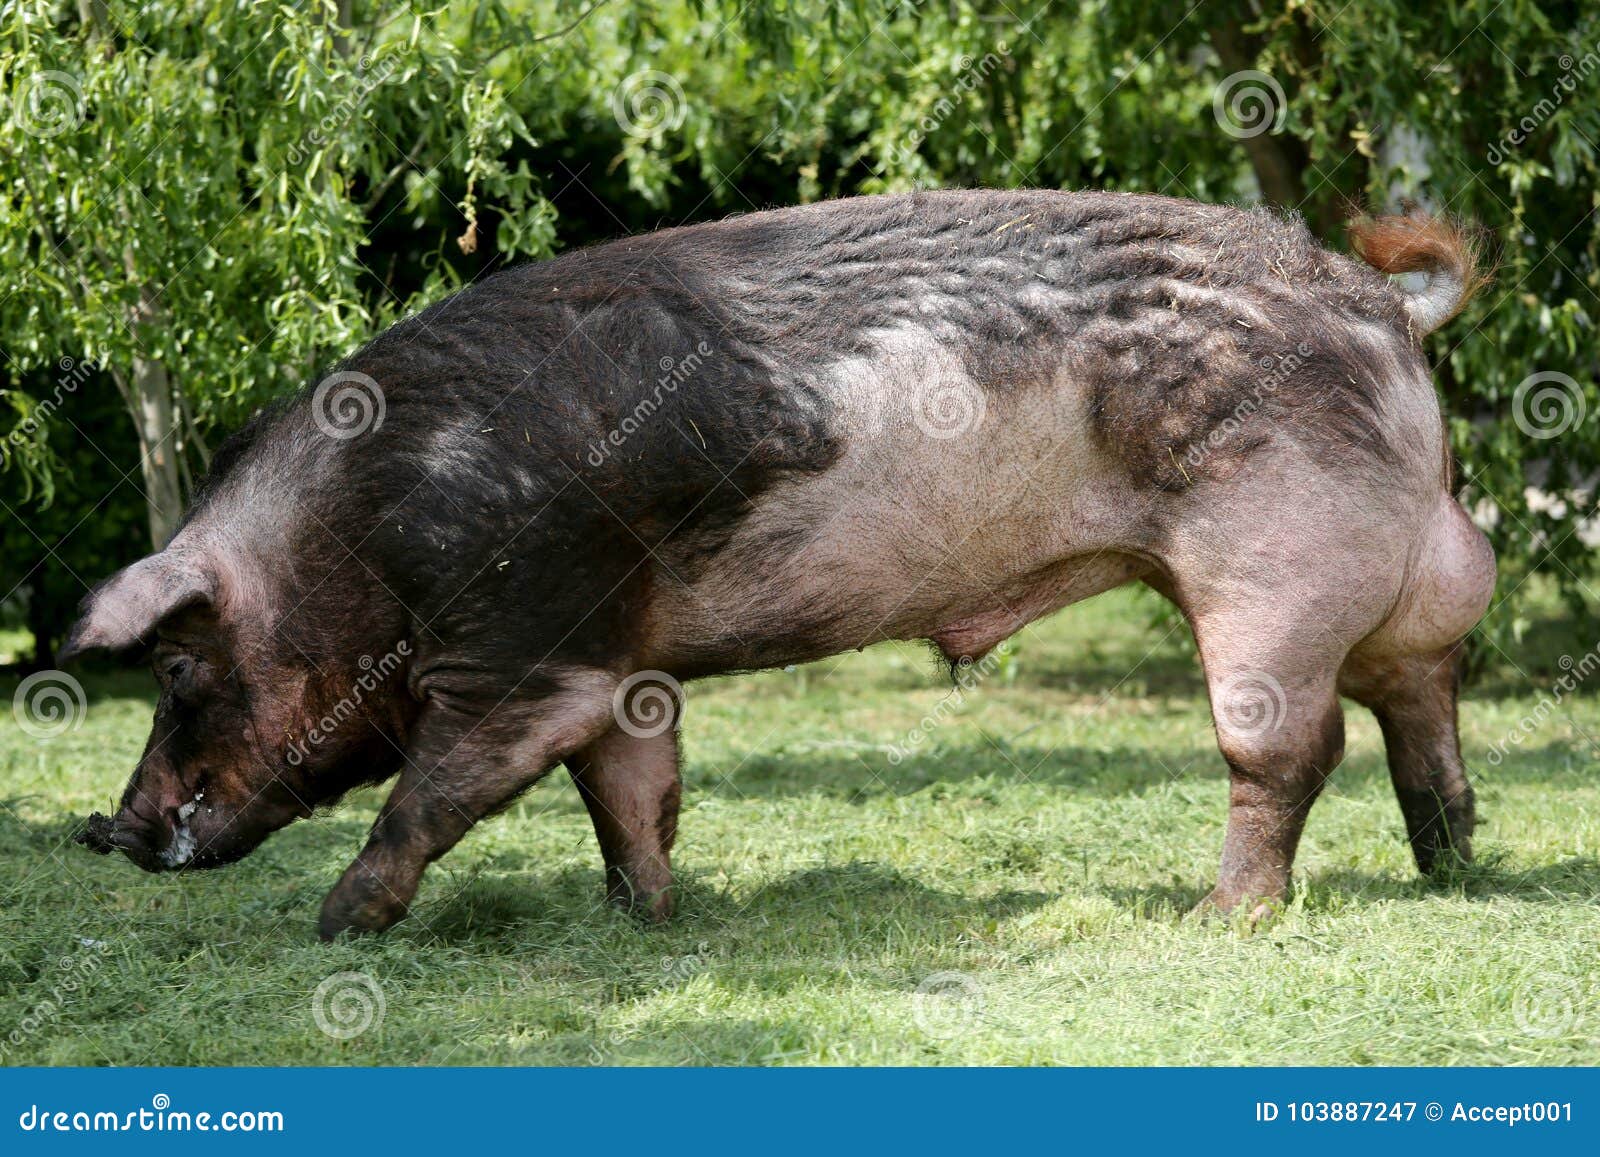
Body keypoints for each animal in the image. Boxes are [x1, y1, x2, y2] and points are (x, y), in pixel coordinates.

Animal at [63, 189, 1494, 938]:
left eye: (179, 670)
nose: (106, 825)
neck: (353, 533)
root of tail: (1381, 303)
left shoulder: (524, 649)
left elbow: (435, 790)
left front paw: (334, 921)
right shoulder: (619, 662)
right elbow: (630, 791)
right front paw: (645, 919)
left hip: (1273, 562)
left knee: (1290, 746)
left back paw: (1223, 916)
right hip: (1406, 577)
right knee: (1420, 698)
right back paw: (1451, 869)